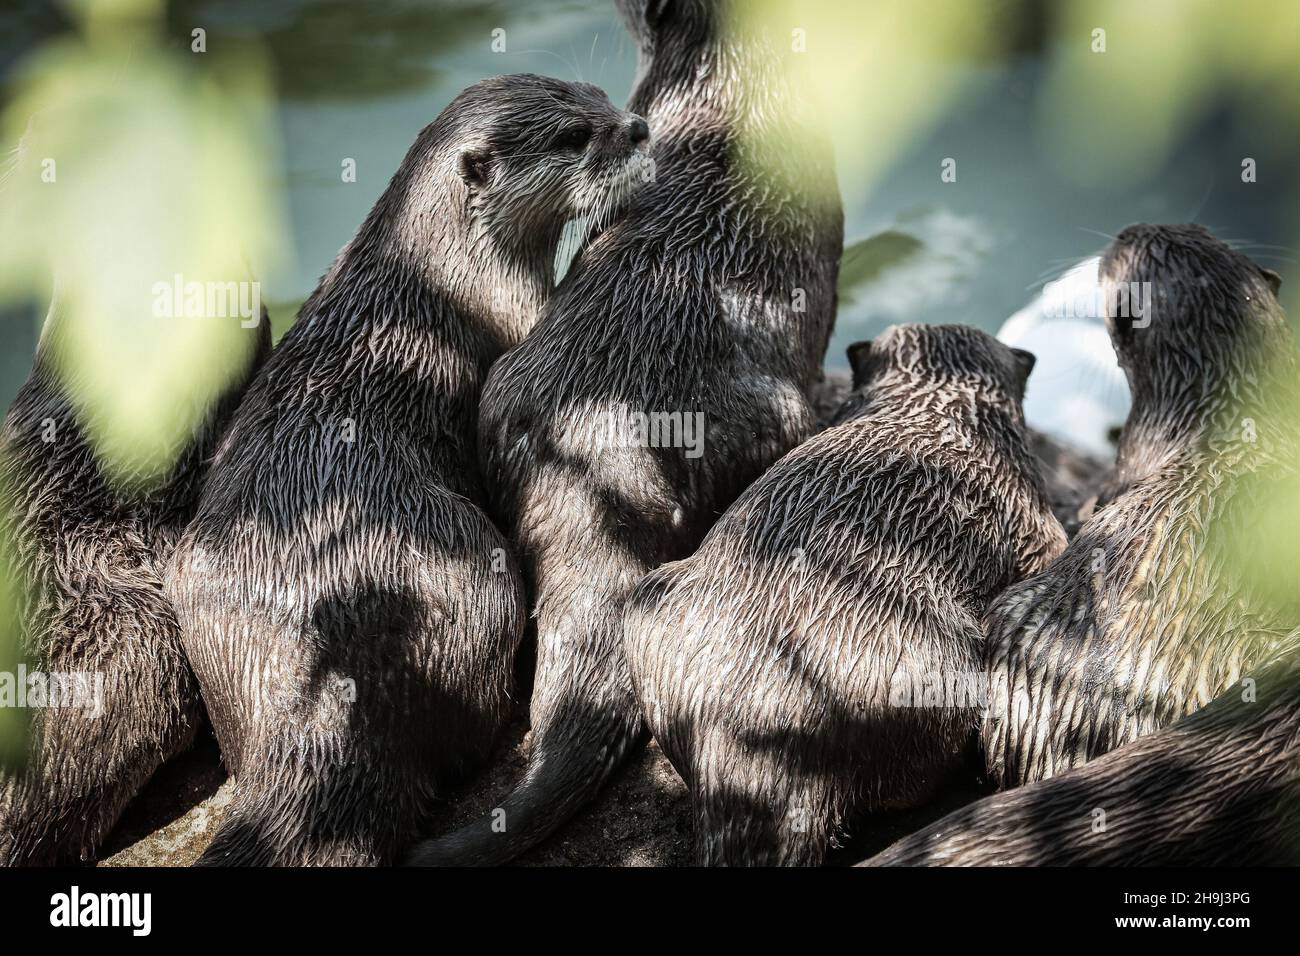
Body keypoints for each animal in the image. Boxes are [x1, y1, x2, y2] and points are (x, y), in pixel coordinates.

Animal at [165, 74, 649, 866]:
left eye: (599, 94)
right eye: (575, 136)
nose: (638, 128)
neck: (436, 260)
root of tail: (319, 682)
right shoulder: (512, 309)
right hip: (468, 574)